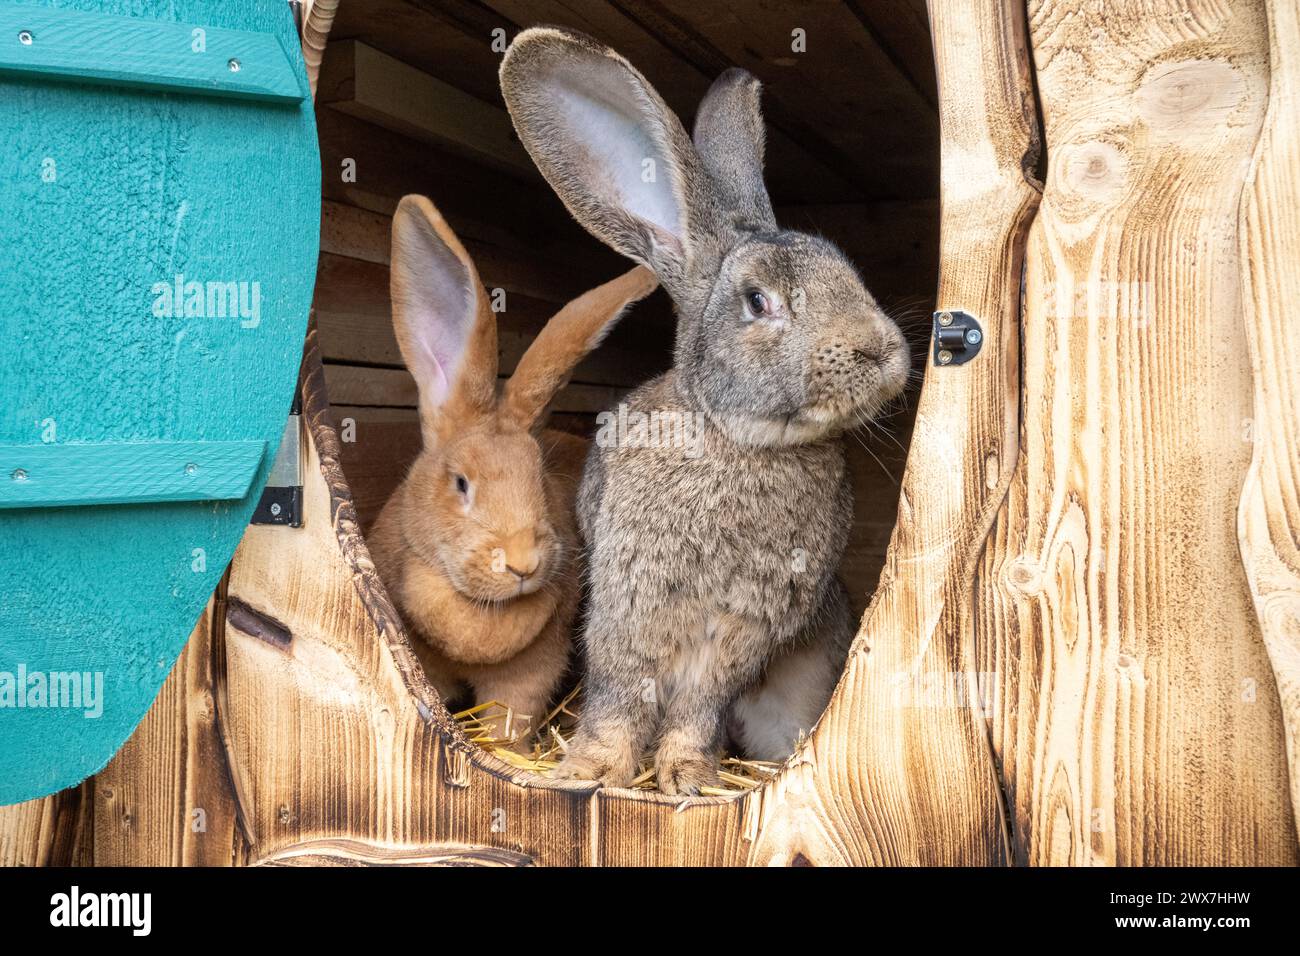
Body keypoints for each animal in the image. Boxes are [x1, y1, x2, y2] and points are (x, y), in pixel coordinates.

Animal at [367, 194, 658, 750]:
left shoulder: (530, 672)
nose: (523, 562)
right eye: (461, 482)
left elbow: (509, 724)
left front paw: (506, 751)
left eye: (540, 477)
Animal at [500, 29, 909, 792]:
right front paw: (587, 770)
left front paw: (690, 777)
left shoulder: (742, 632)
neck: (738, 439)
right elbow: (620, 697)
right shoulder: (629, 606)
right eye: (757, 302)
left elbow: (698, 706)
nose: (886, 351)